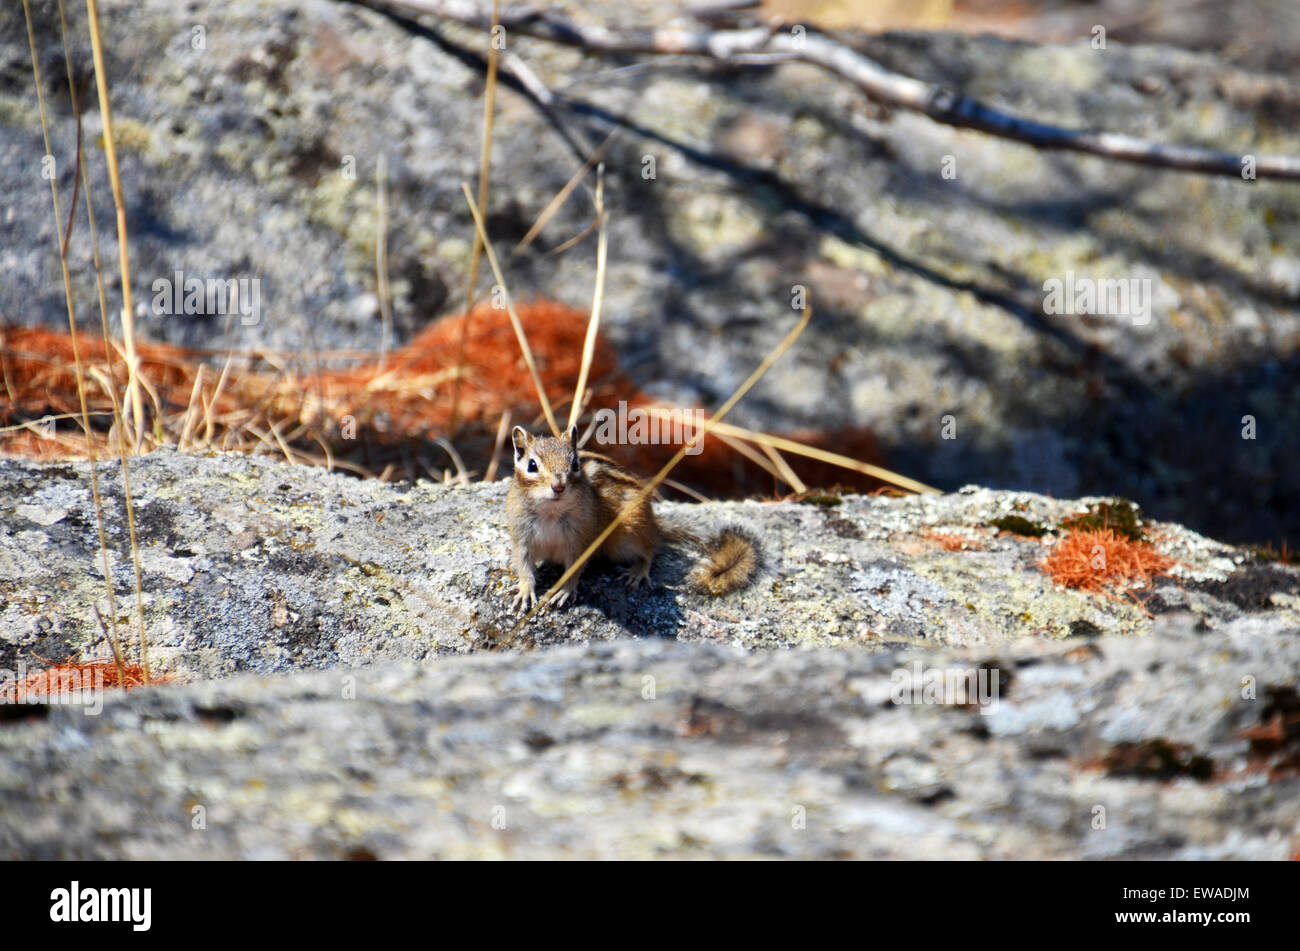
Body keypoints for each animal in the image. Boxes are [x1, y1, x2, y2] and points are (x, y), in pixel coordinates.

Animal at [505, 424, 758, 611]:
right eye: (532, 465)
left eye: (575, 464)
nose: (558, 486)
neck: (551, 512)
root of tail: (655, 525)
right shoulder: (521, 539)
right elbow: (523, 566)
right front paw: (525, 590)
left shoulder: (581, 542)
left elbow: (574, 570)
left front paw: (564, 590)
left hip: (627, 534)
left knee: (650, 551)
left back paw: (637, 572)